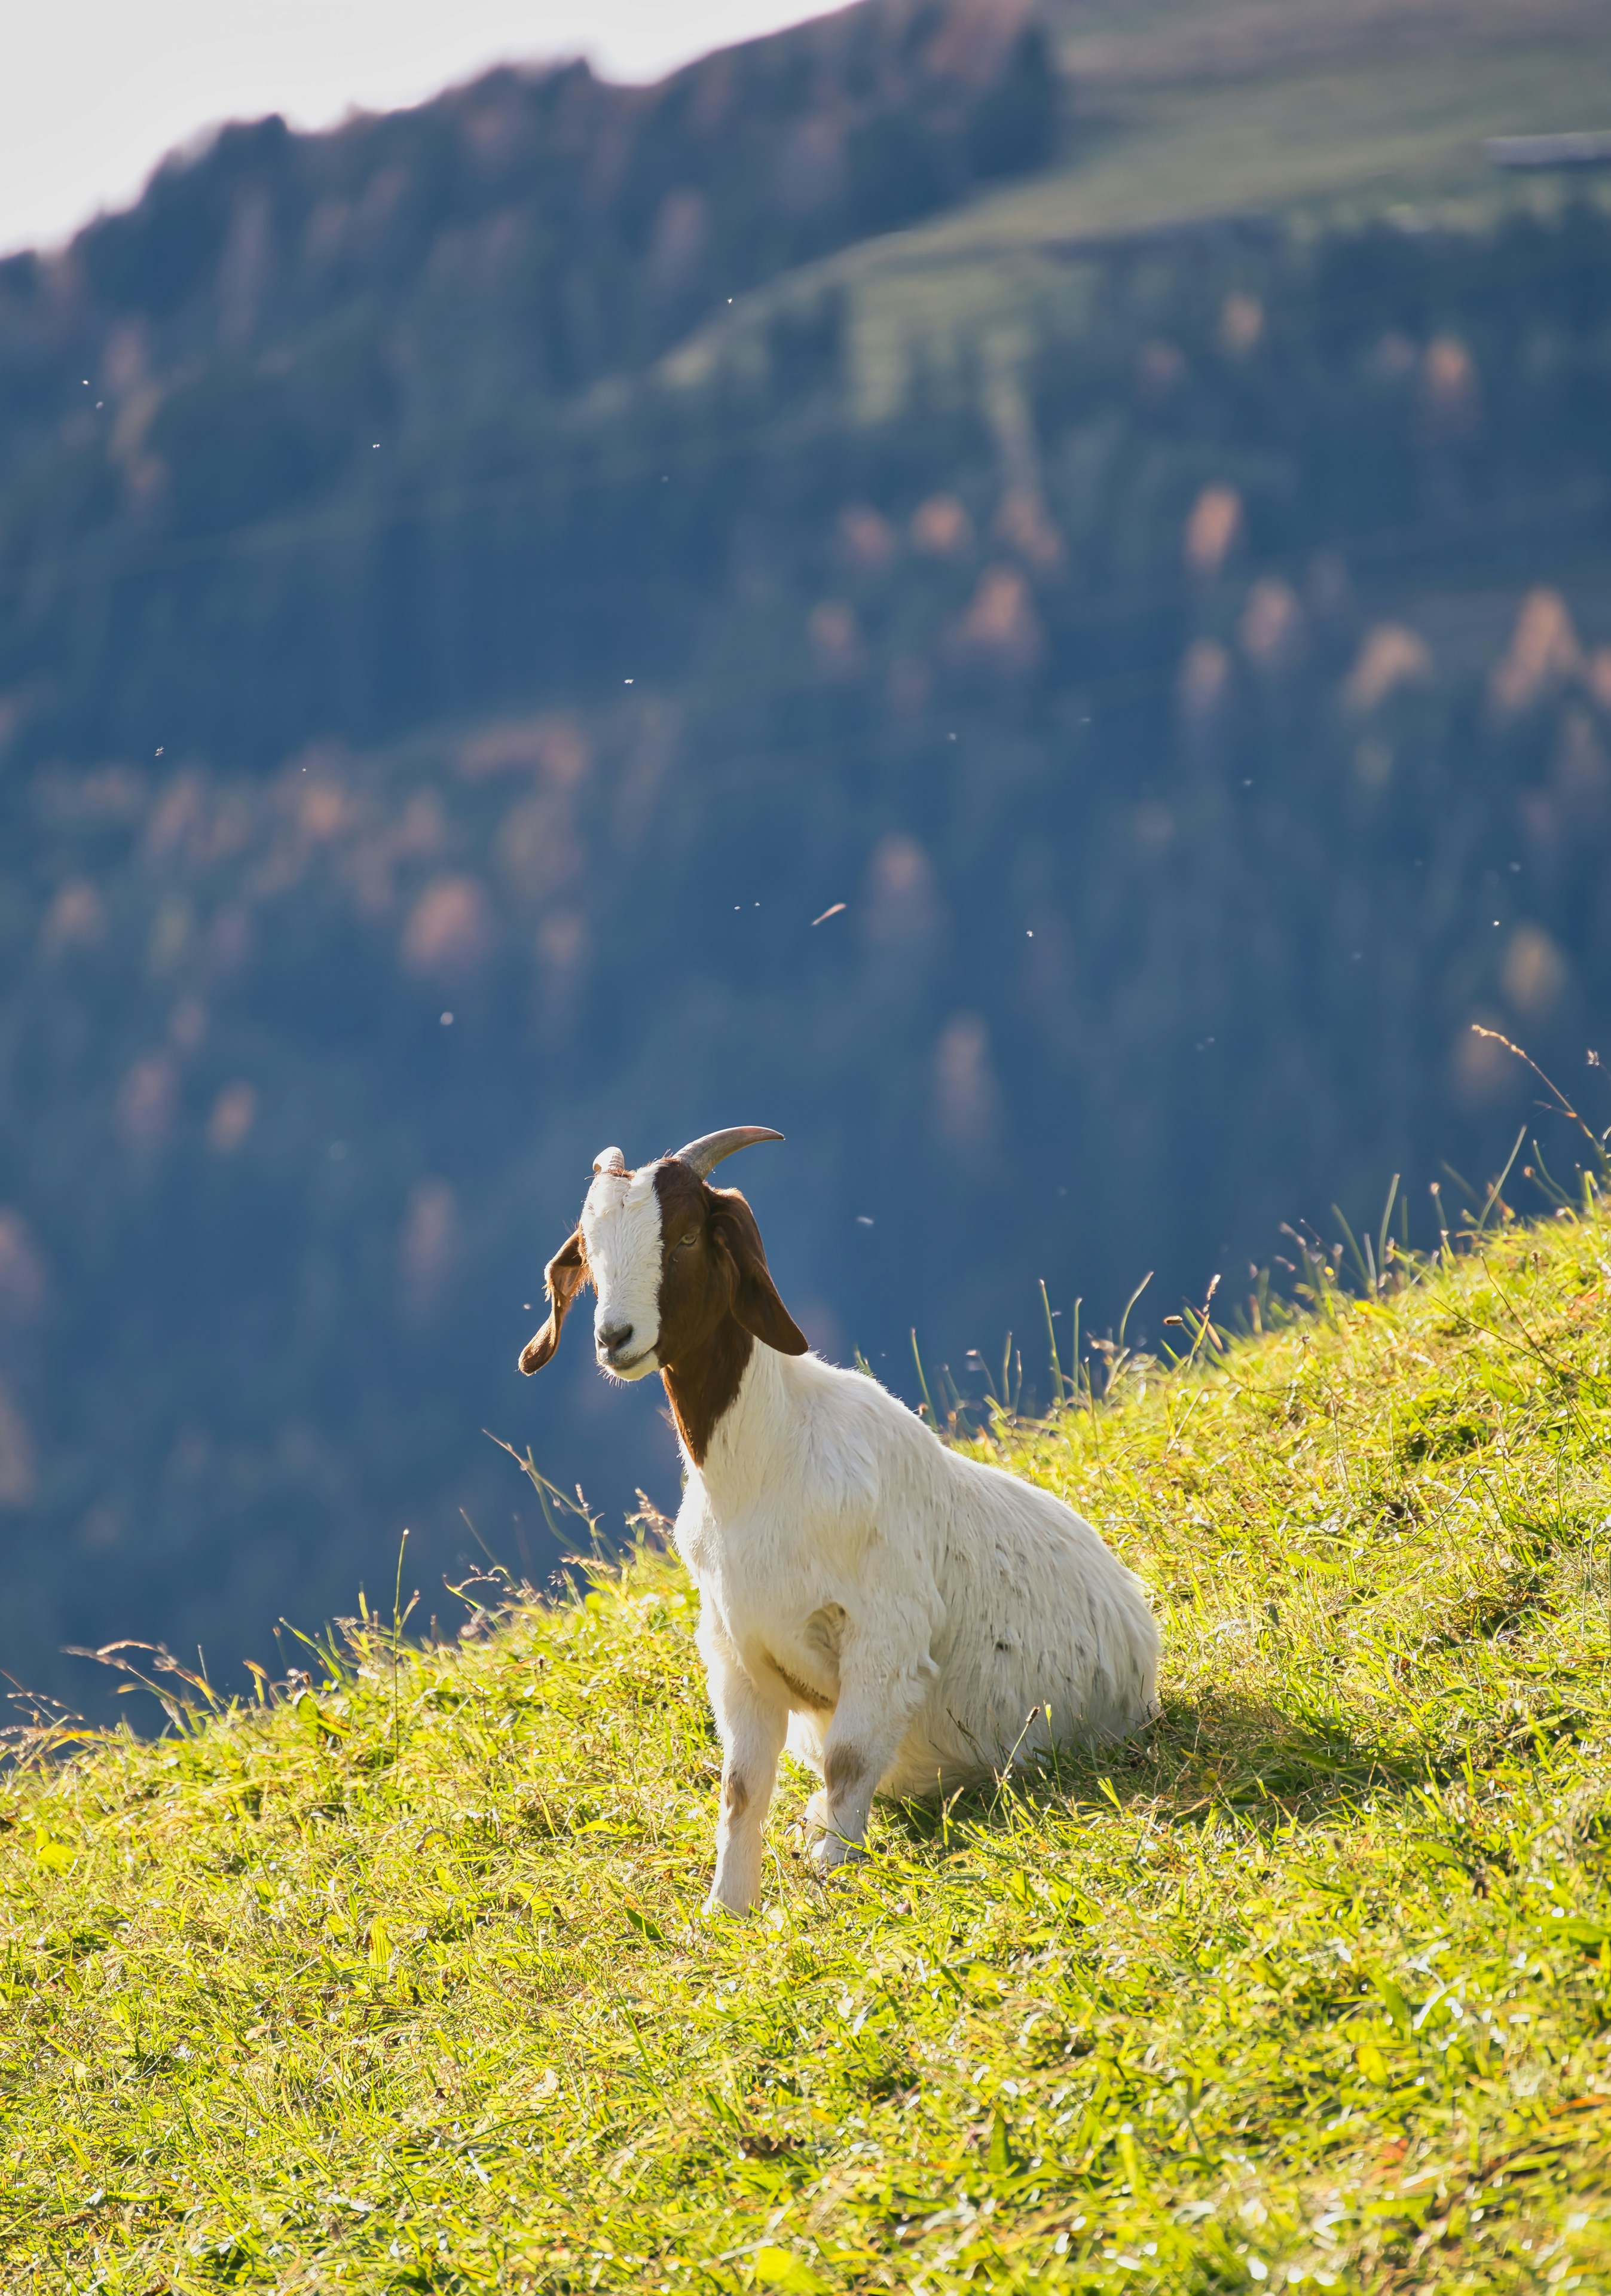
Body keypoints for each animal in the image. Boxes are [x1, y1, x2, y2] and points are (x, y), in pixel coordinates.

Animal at [519, 1129, 1160, 1913]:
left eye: (689, 1236)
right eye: (588, 1247)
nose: (615, 1337)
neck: (765, 1472)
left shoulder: (885, 1634)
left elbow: (849, 1759)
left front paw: (829, 1871)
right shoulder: (734, 1650)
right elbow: (740, 1788)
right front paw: (726, 1908)